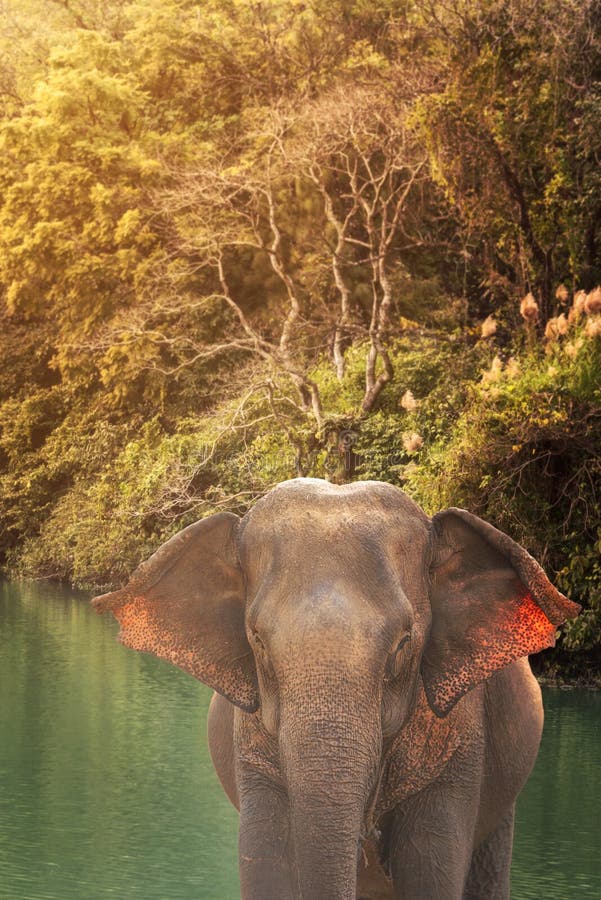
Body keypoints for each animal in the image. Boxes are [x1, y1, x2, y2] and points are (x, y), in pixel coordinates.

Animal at [92, 478, 580, 900]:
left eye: (403, 643)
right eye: (257, 640)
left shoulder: (459, 751)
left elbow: (431, 878)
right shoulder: (252, 753)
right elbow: (267, 870)